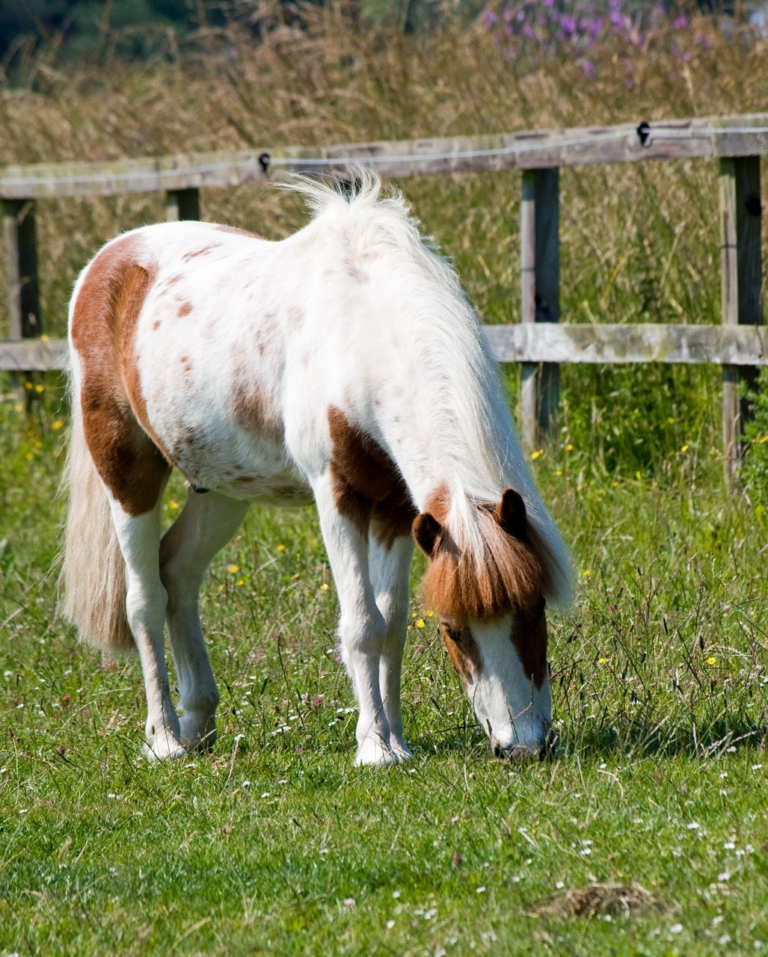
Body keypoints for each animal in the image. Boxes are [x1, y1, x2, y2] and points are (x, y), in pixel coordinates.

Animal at [60, 171, 571, 766]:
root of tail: (105, 262)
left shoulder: (397, 509)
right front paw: (373, 748)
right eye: (453, 630)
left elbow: (392, 622)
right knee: (144, 600)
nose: (523, 746)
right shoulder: (338, 496)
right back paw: (164, 738)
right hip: (126, 474)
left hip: (221, 491)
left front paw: (397, 741)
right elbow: (362, 624)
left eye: (535, 609)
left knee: (179, 572)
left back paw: (198, 723)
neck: (364, 330)